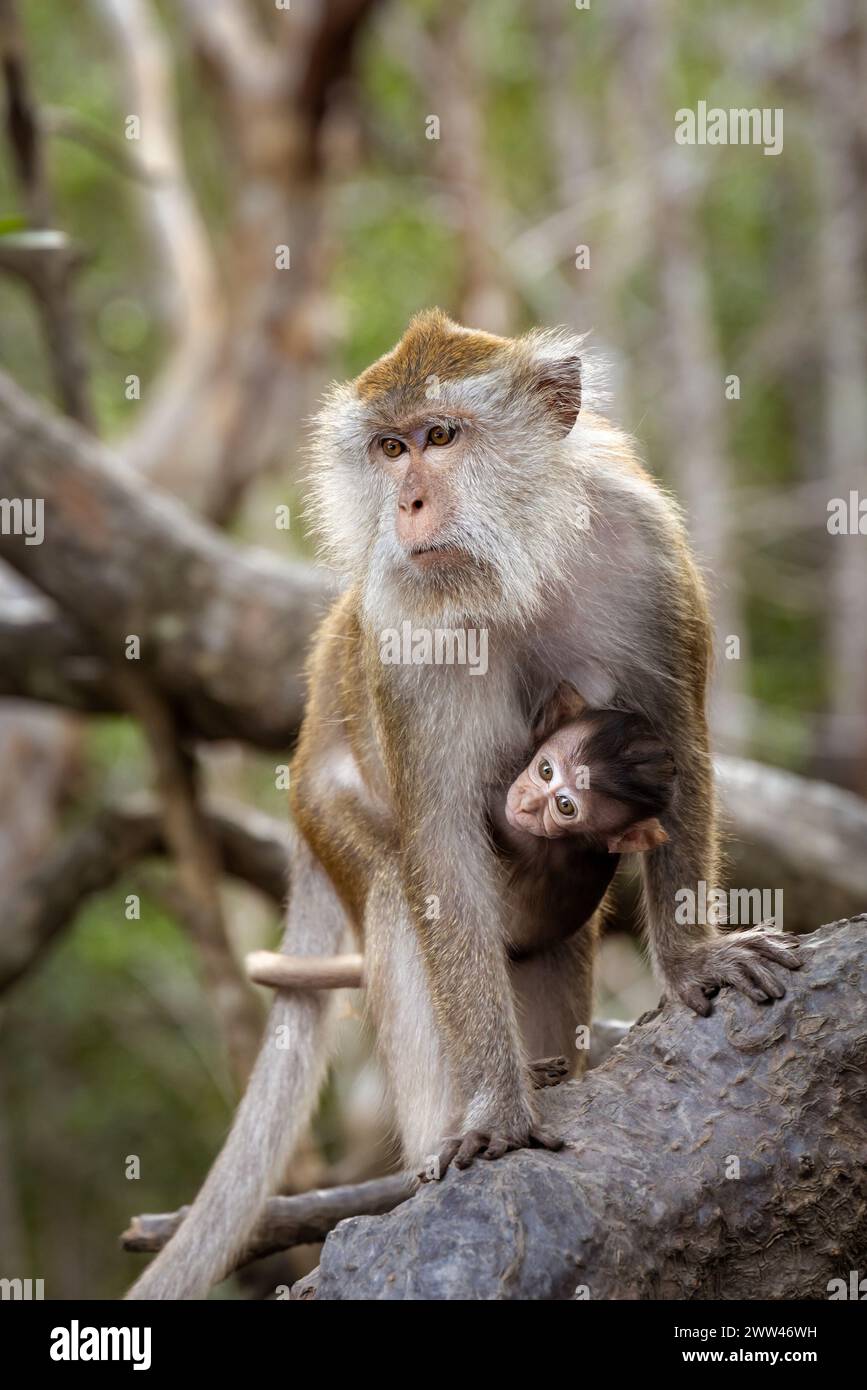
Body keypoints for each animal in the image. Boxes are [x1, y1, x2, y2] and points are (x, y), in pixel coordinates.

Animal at [127, 309, 800, 1299]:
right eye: (388, 448)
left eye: (441, 437)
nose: (406, 505)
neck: (515, 561)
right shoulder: (404, 631)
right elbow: (440, 851)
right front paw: (491, 1109)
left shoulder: (645, 551)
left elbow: (678, 743)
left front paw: (690, 959)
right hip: (331, 806)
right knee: (397, 893)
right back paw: (441, 1136)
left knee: (549, 942)